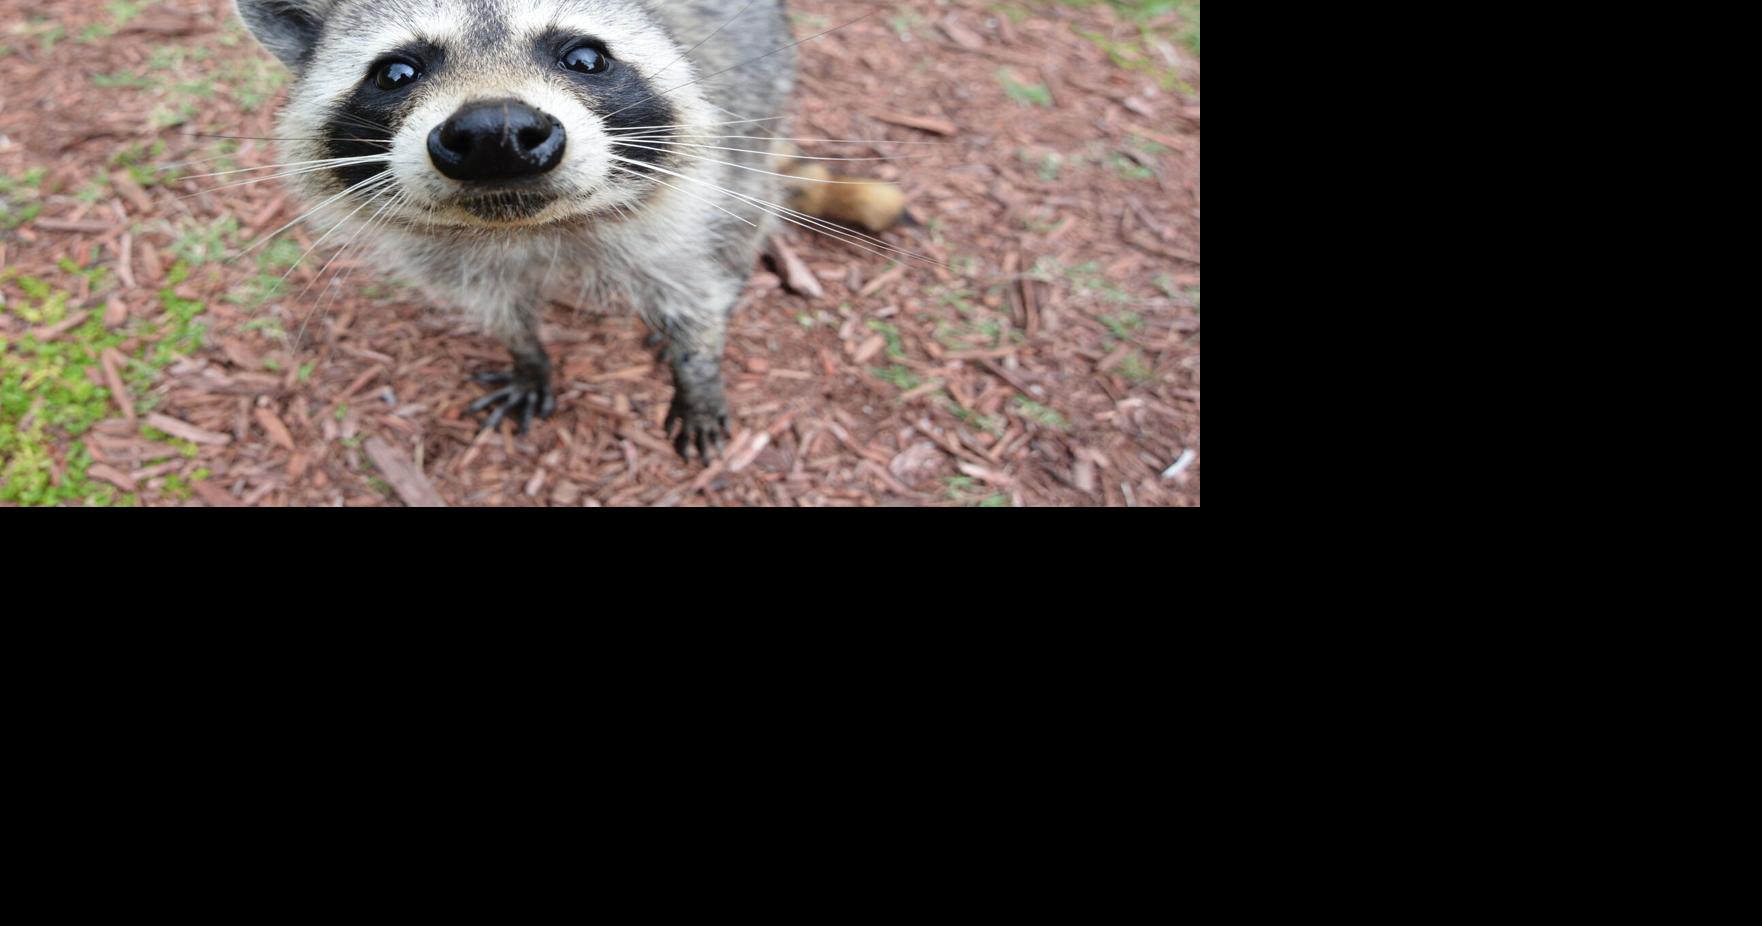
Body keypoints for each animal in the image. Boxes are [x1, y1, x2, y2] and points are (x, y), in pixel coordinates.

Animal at [233, 0, 803, 459]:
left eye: (585, 59)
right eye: (395, 73)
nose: (494, 133)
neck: (527, 227)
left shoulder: (682, 206)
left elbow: (692, 289)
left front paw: (698, 372)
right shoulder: (445, 259)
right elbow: (497, 307)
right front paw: (527, 356)